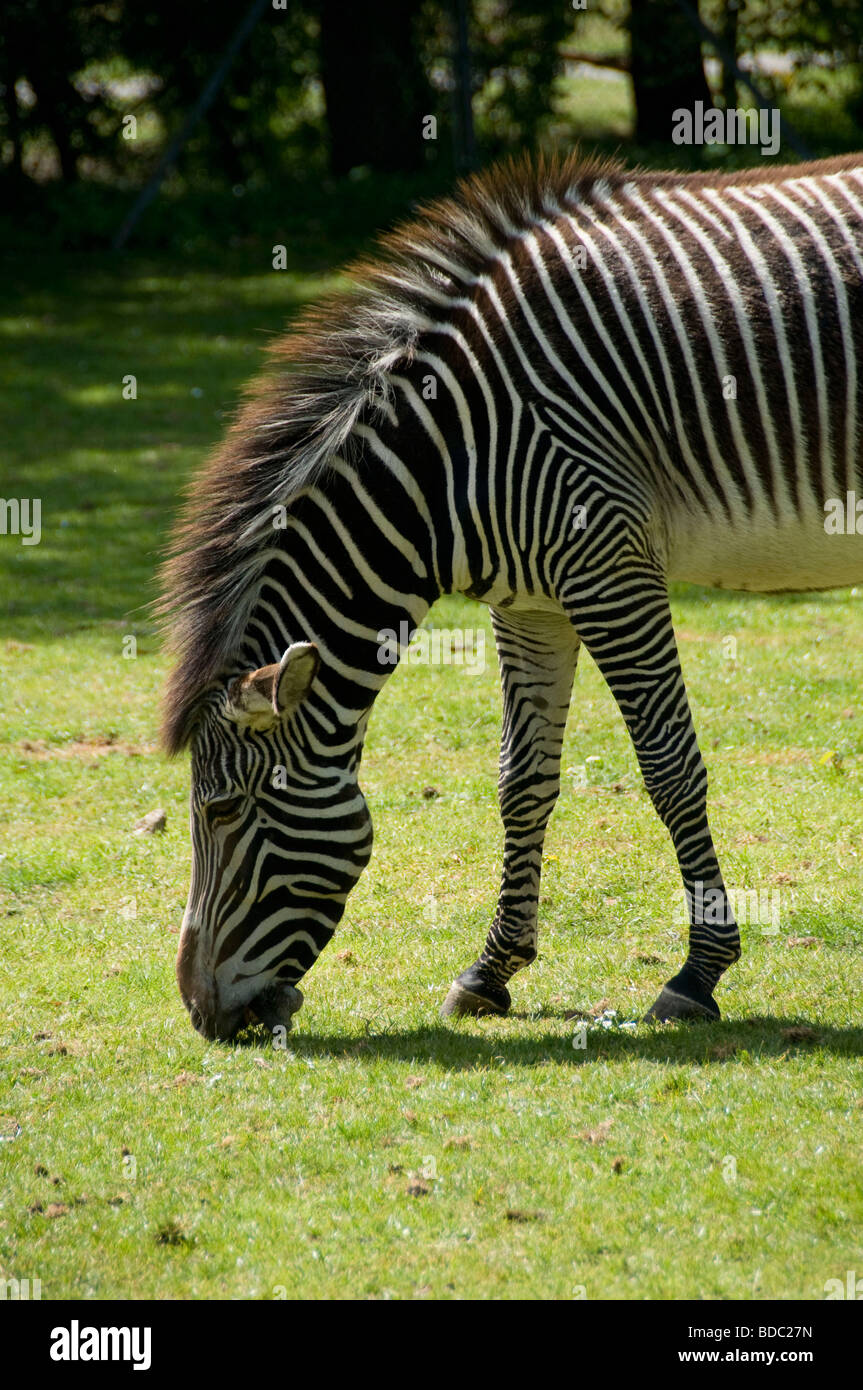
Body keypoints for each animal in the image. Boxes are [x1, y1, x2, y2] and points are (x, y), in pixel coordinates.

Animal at [161, 150, 863, 1041]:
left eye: (222, 811)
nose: (201, 1014)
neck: (453, 453)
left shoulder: (609, 566)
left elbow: (668, 766)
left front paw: (697, 973)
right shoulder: (532, 600)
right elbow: (520, 779)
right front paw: (490, 970)